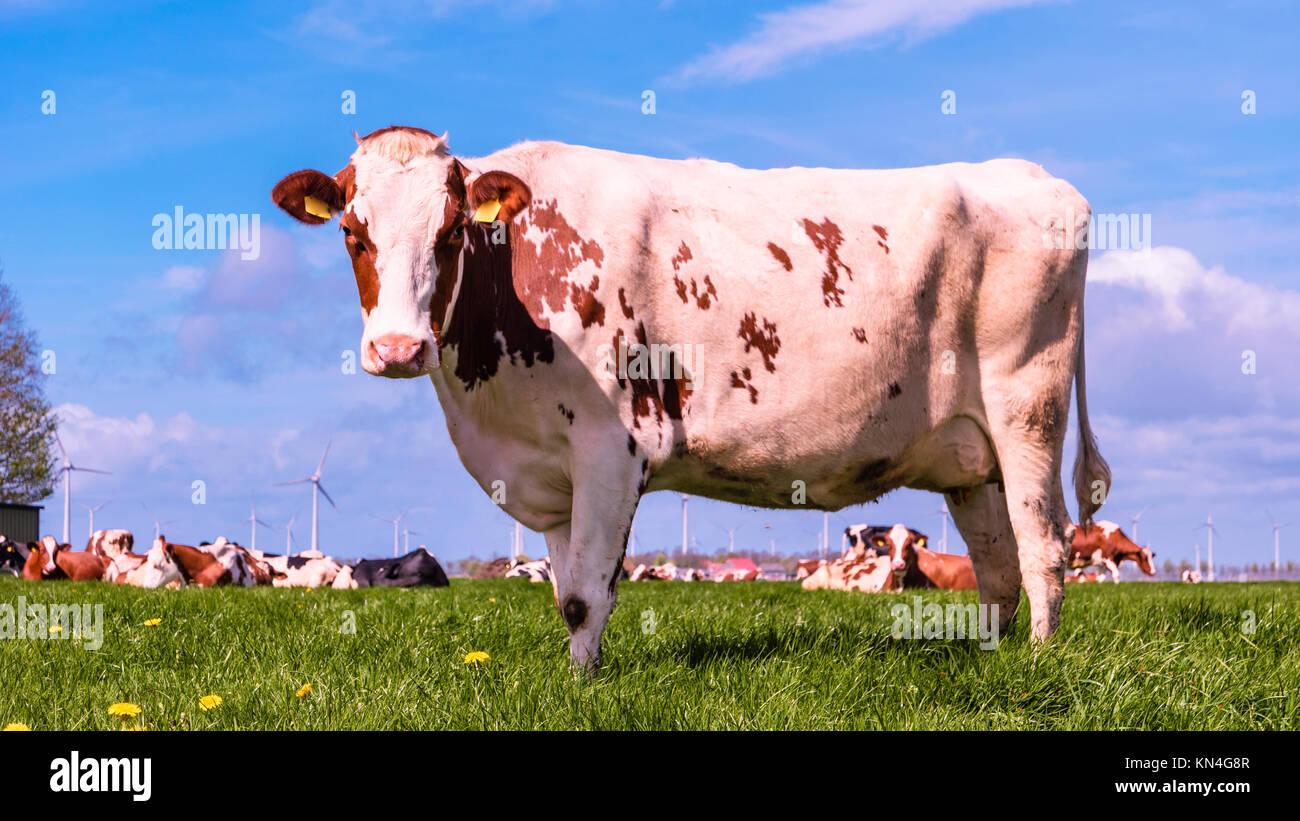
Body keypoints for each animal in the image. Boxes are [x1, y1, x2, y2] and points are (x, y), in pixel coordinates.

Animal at [271, 126, 1110, 669]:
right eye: (351, 232)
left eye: (450, 233)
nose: (397, 349)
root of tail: (1032, 174)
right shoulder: (550, 465)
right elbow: (565, 588)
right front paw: (575, 675)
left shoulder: (612, 445)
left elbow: (586, 593)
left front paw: (583, 688)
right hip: (972, 454)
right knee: (997, 565)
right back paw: (989, 656)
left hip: (1026, 408)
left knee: (1043, 549)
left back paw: (1038, 663)